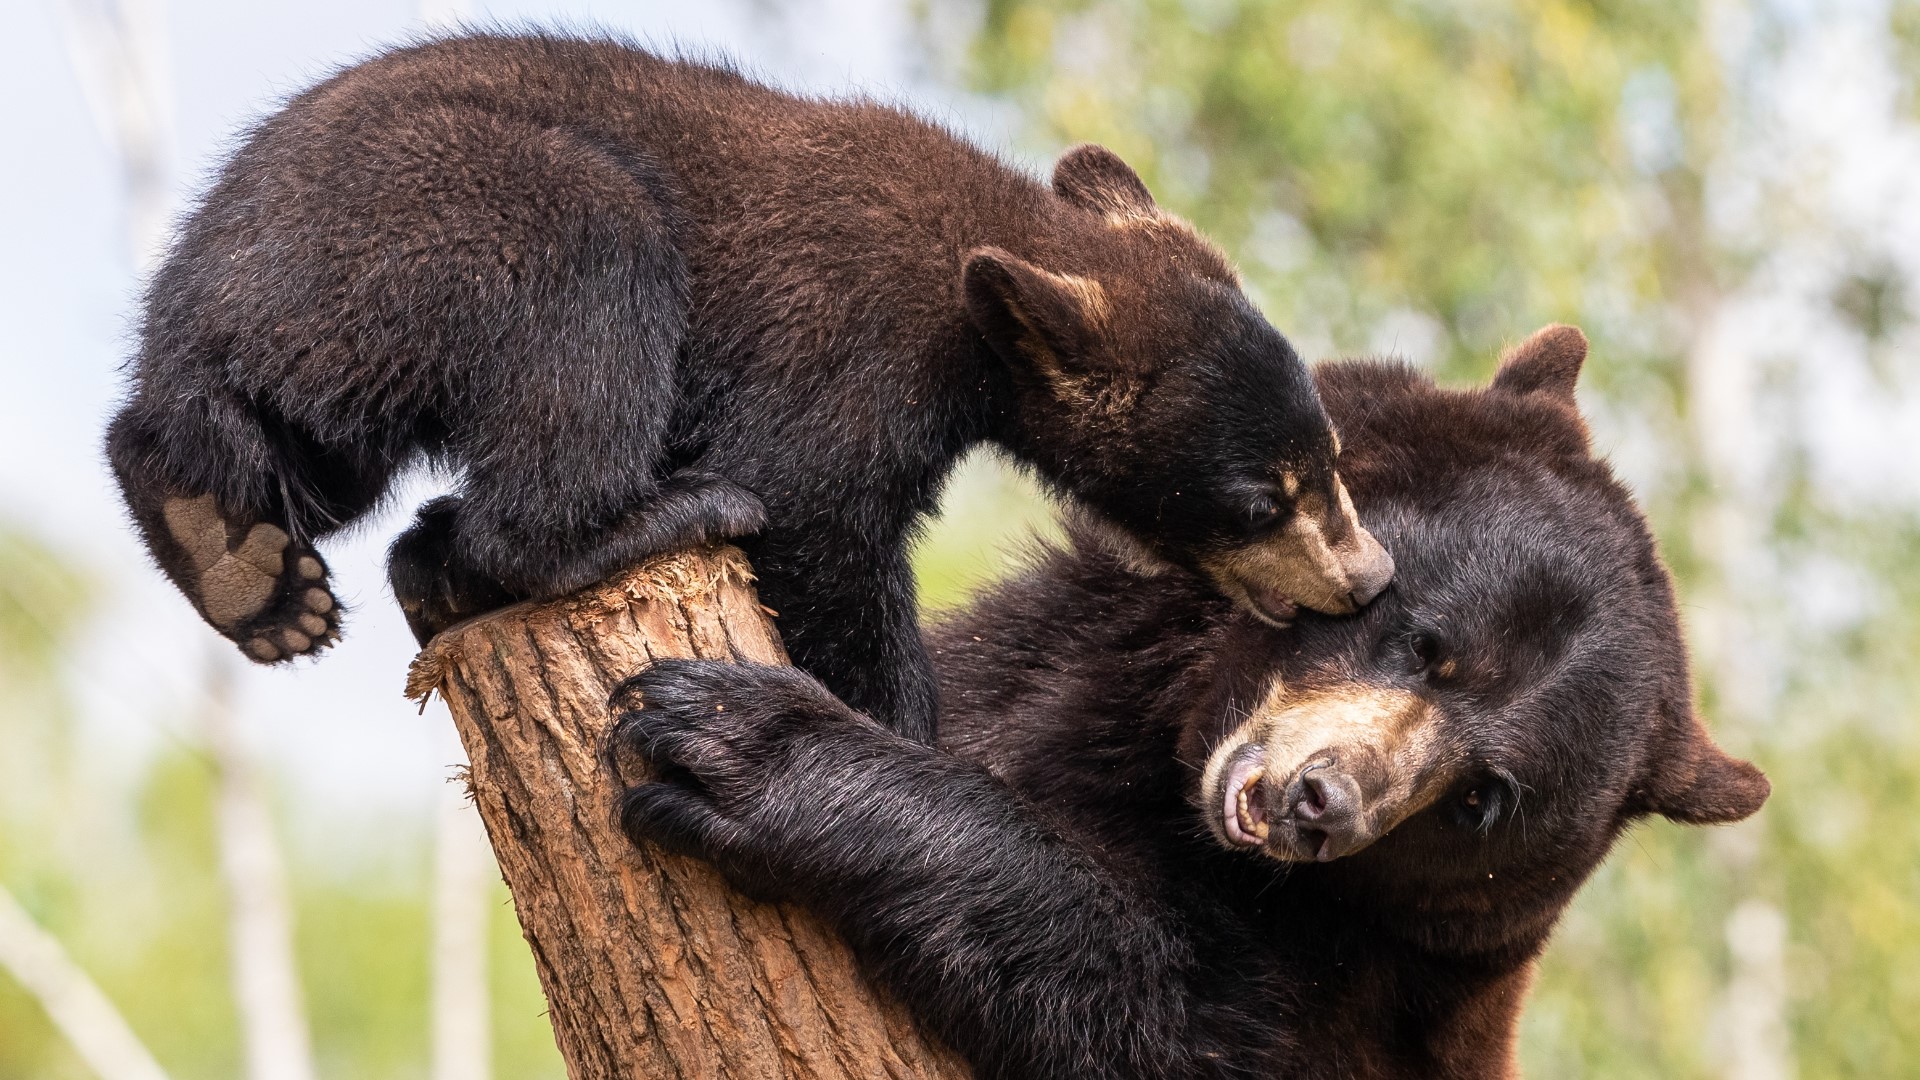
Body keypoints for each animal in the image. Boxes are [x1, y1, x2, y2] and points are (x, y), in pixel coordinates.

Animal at [102, 32, 1392, 743]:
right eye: (1260, 497)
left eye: (1327, 456)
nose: (1364, 575)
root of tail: (195, 288)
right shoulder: (846, 344)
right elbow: (815, 511)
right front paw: (903, 726)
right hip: (446, 217)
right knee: (587, 275)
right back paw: (632, 521)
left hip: (330, 339)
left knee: (277, 449)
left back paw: (246, 564)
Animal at [609, 324, 1771, 1079]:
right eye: (1426, 645)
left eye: (1485, 798)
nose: (1321, 803)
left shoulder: (1353, 1001)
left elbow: (1159, 1001)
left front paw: (741, 746)